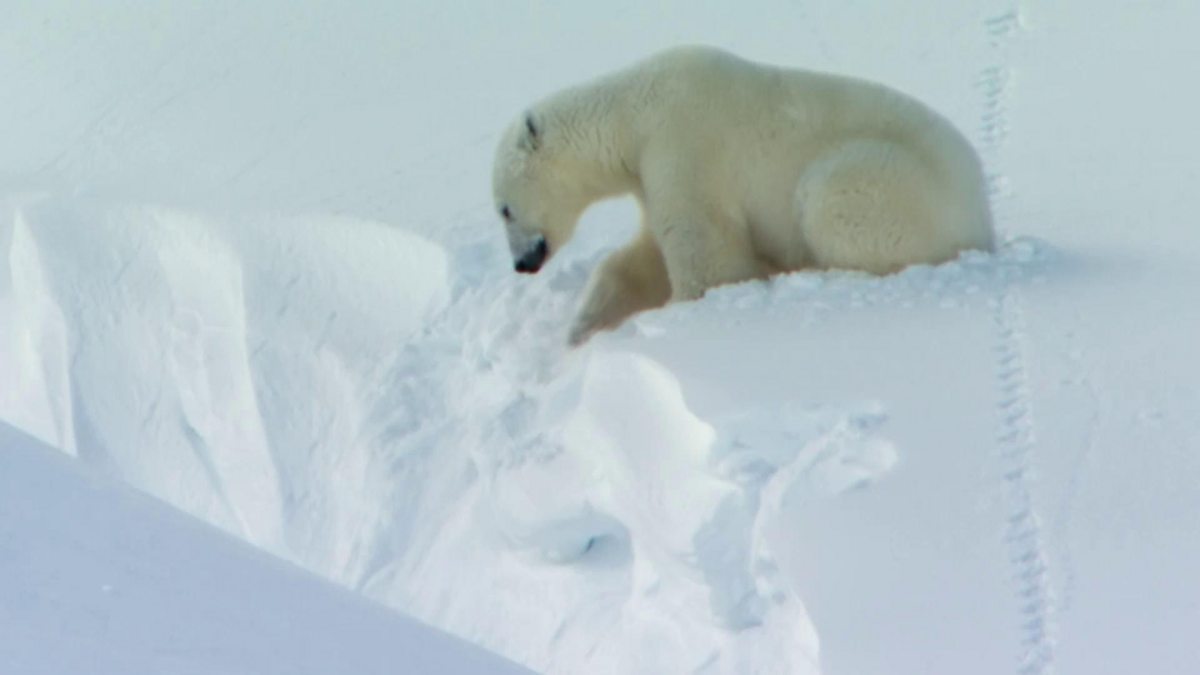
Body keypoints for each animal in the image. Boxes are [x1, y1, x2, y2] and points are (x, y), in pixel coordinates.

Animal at [492, 46, 995, 345]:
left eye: (504, 209)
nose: (522, 263)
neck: (633, 116)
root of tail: (981, 214)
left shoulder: (684, 147)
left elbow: (708, 258)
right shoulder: (654, 173)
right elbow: (641, 259)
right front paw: (581, 329)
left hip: (894, 182)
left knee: (831, 200)